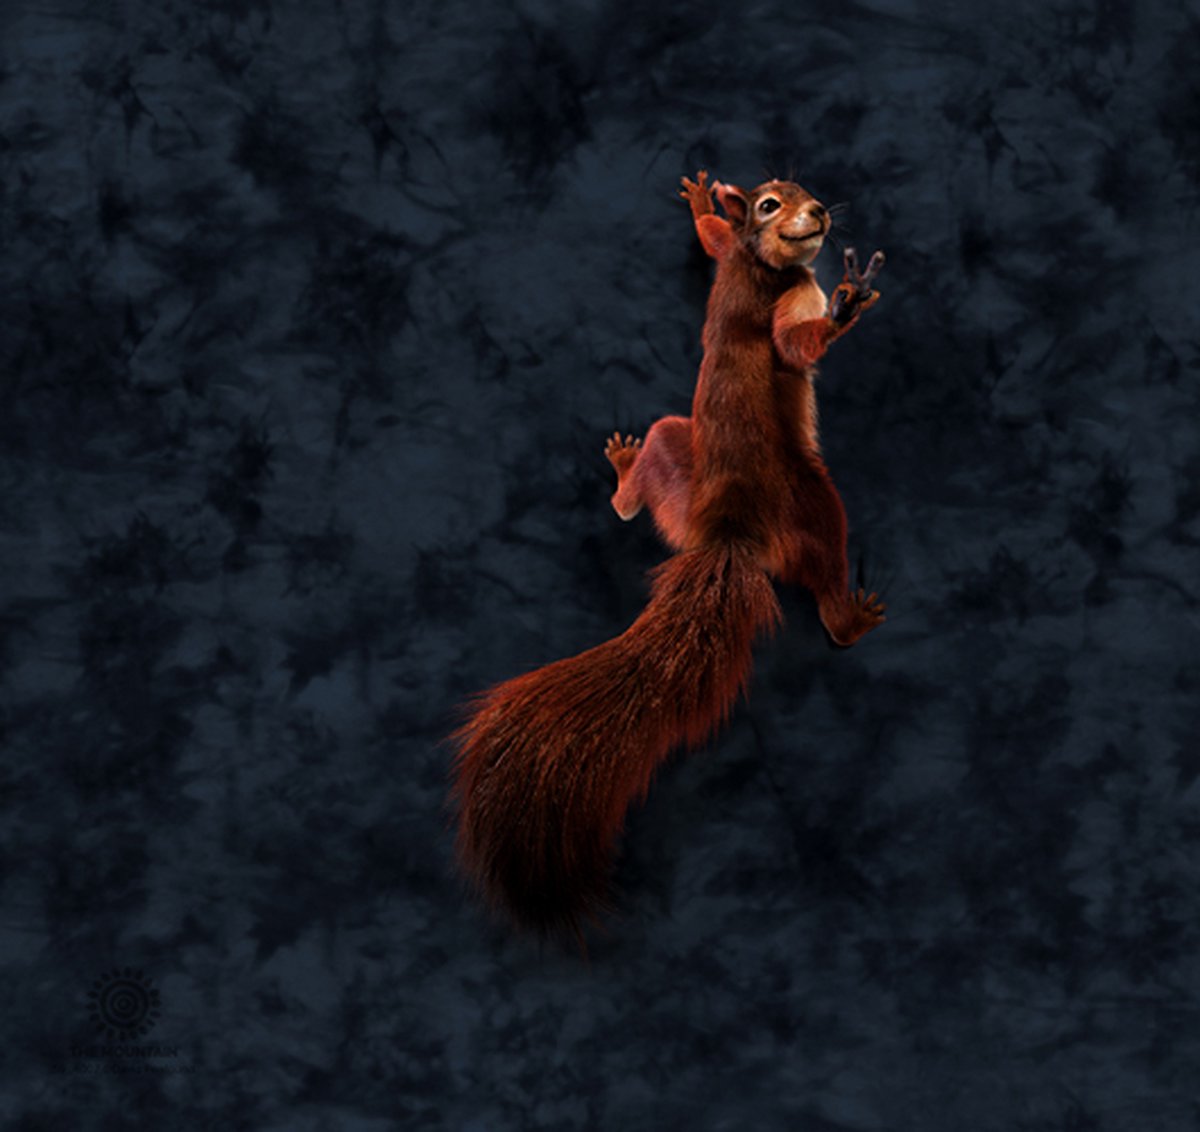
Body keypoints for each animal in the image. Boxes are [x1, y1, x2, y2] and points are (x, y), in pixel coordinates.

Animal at [450, 171, 886, 941]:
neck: (760, 263)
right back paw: (847, 617)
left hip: (675, 452)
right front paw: (844, 304)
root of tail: (726, 534)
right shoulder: (786, 299)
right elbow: (796, 344)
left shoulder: (732, 261)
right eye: (771, 204)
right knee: (827, 566)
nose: (820, 213)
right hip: (814, 501)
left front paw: (702, 203)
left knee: (643, 484)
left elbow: (711, 242)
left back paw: (626, 480)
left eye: (801, 188)